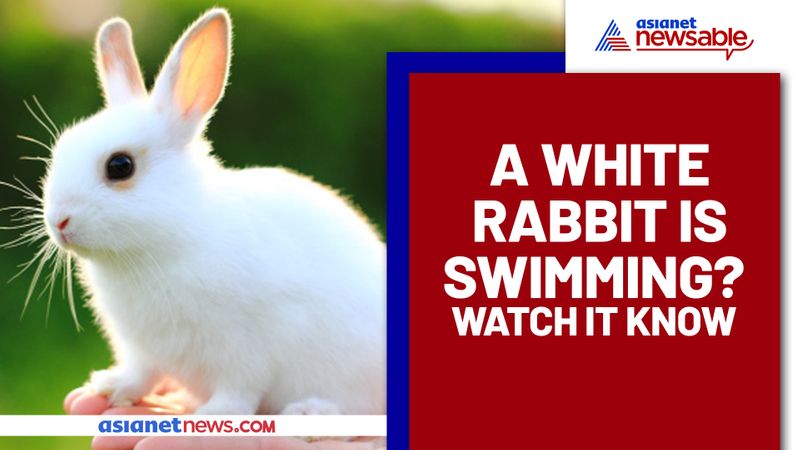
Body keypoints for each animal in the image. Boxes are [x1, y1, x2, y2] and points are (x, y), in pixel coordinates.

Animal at [39, 8, 386, 415]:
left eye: (120, 166)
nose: (59, 222)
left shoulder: (249, 348)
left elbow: (241, 387)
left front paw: (218, 412)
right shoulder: (142, 349)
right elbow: (143, 373)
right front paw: (111, 386)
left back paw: (312, 410)